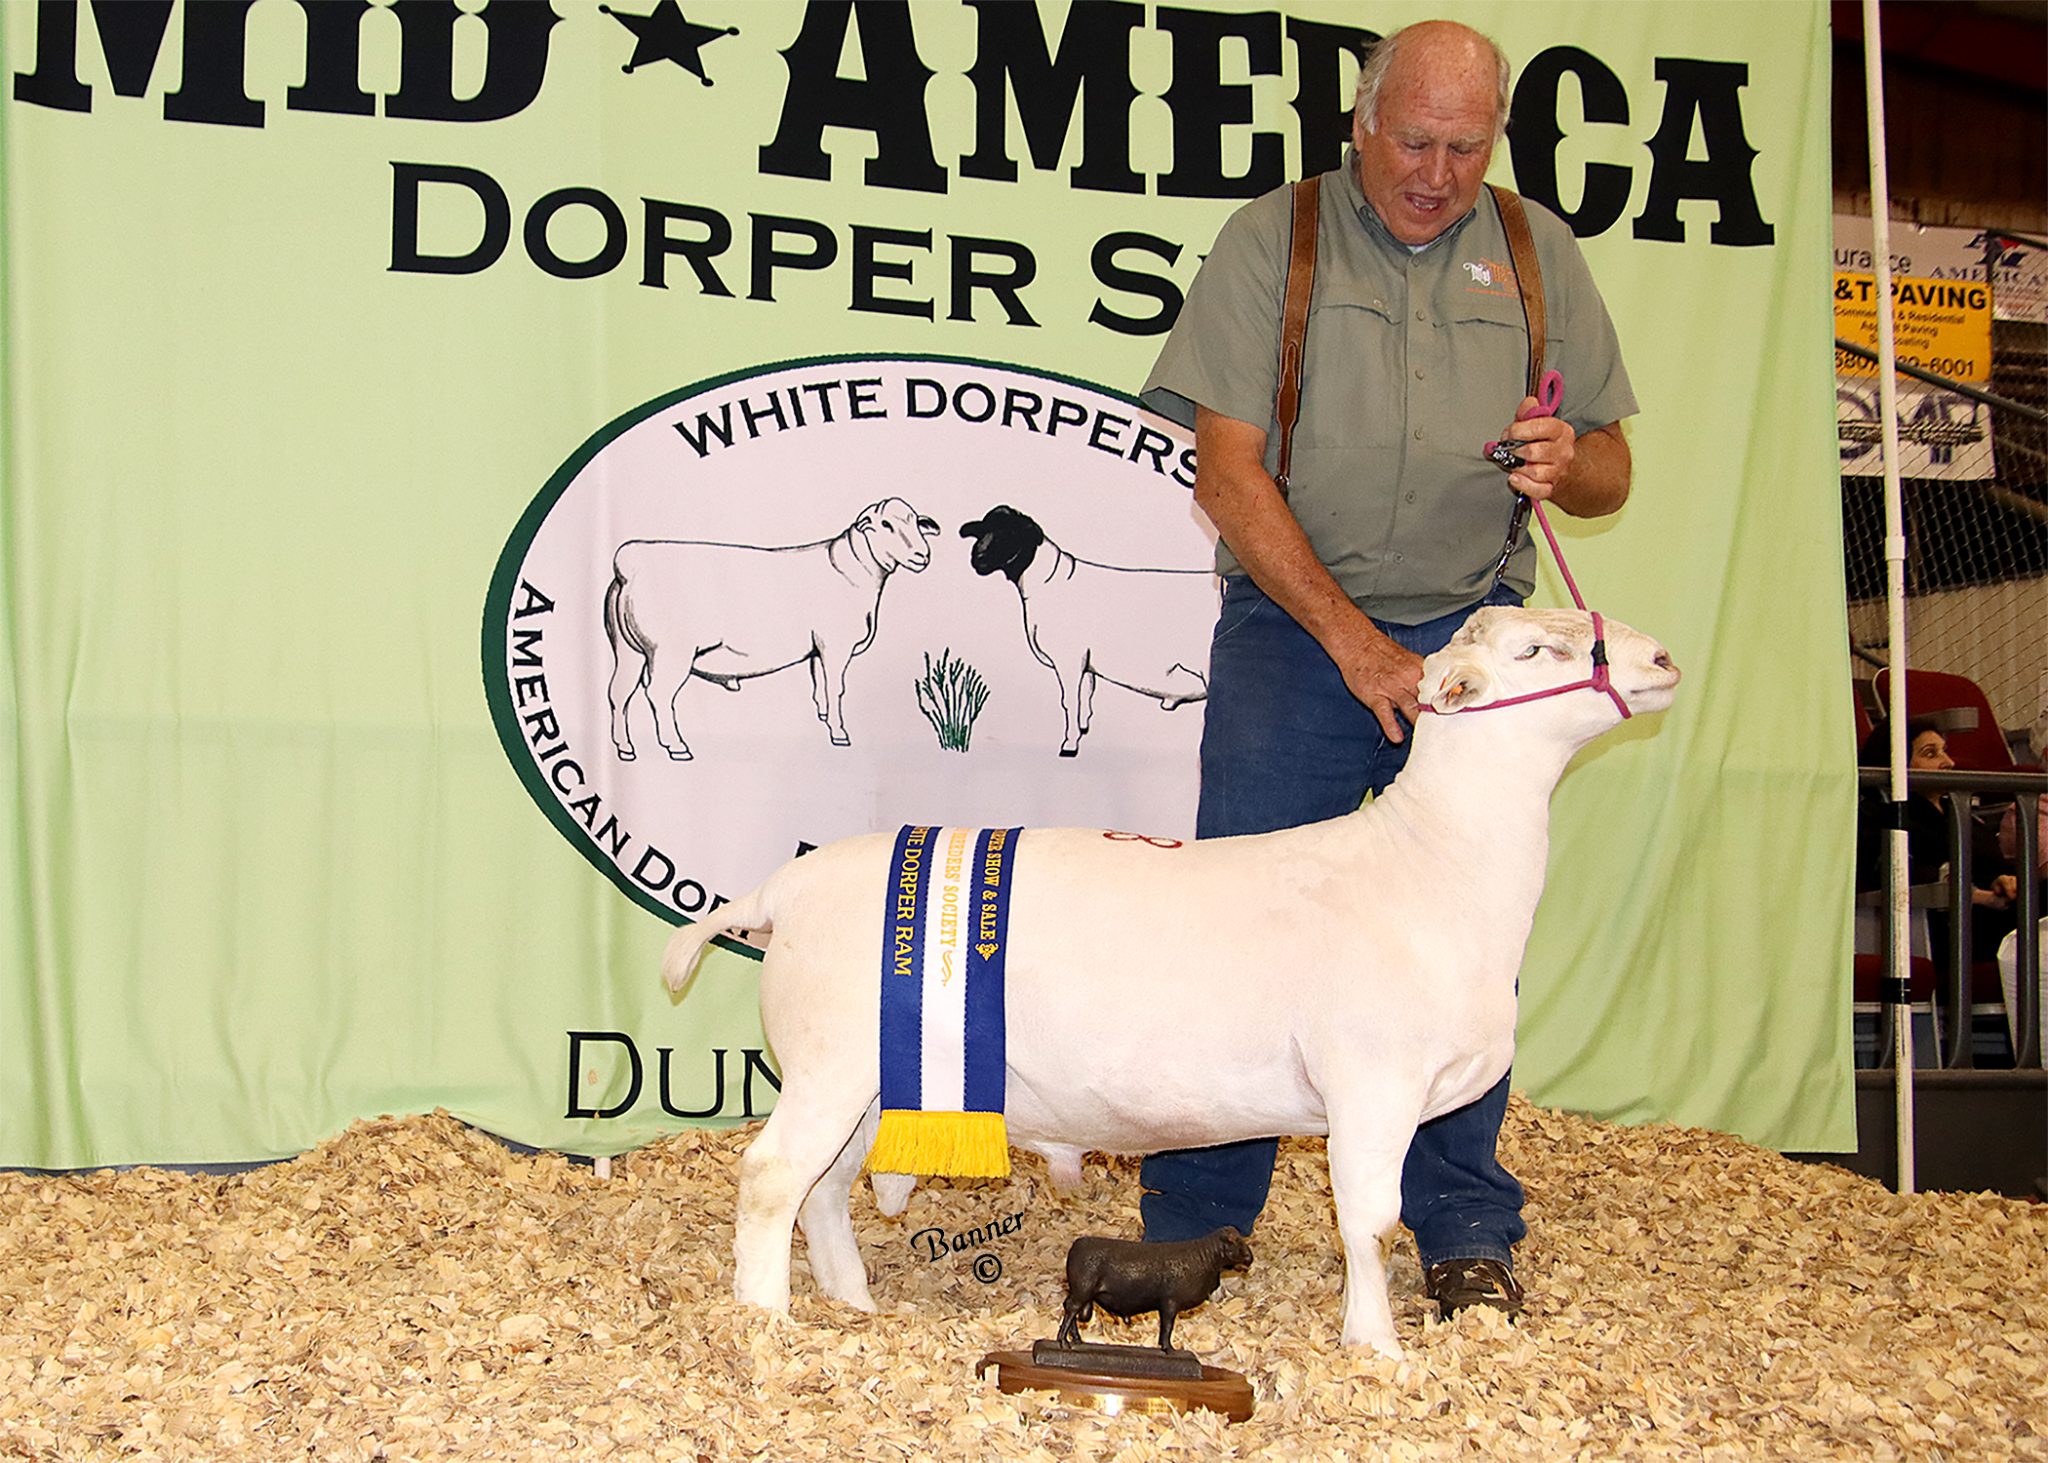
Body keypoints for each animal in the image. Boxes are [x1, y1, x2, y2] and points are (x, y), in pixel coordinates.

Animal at [604, 498, 941, 761]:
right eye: (885, 525)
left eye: (916, 523)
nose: (923, 555)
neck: (850, 569)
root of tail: (629, 562)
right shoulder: (836, 644)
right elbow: (836, 687)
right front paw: (839, 732)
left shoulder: (818, 647)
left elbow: (819, 683)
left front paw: (823, 717)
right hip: (670, 653)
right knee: (658, 695)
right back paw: (676, 746)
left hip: (630, 651)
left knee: (619, 693)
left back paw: (625, 747)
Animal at [958, 505, 1215, 756]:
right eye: (982, 531)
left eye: (1010, 532)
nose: (976, 559)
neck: (1047, 584)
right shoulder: (1087, 661)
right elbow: (1086, 693)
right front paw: (1082, 728)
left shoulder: (1068, 660)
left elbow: (1069, 701)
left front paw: (1069, 744)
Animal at [1057, 1228, 1253, 1352]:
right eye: (1235, 1242)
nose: (1250, 1258)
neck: (1204, 1259)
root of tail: (1077, 1245)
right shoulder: (1170, 1302)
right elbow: (1167, 1327)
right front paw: (1168, 1348)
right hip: (1083, 1290)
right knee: (1071, 1308)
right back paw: (1063, 1341)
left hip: (1080, 1291)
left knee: (1069, 1307)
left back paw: (1076, 1339)